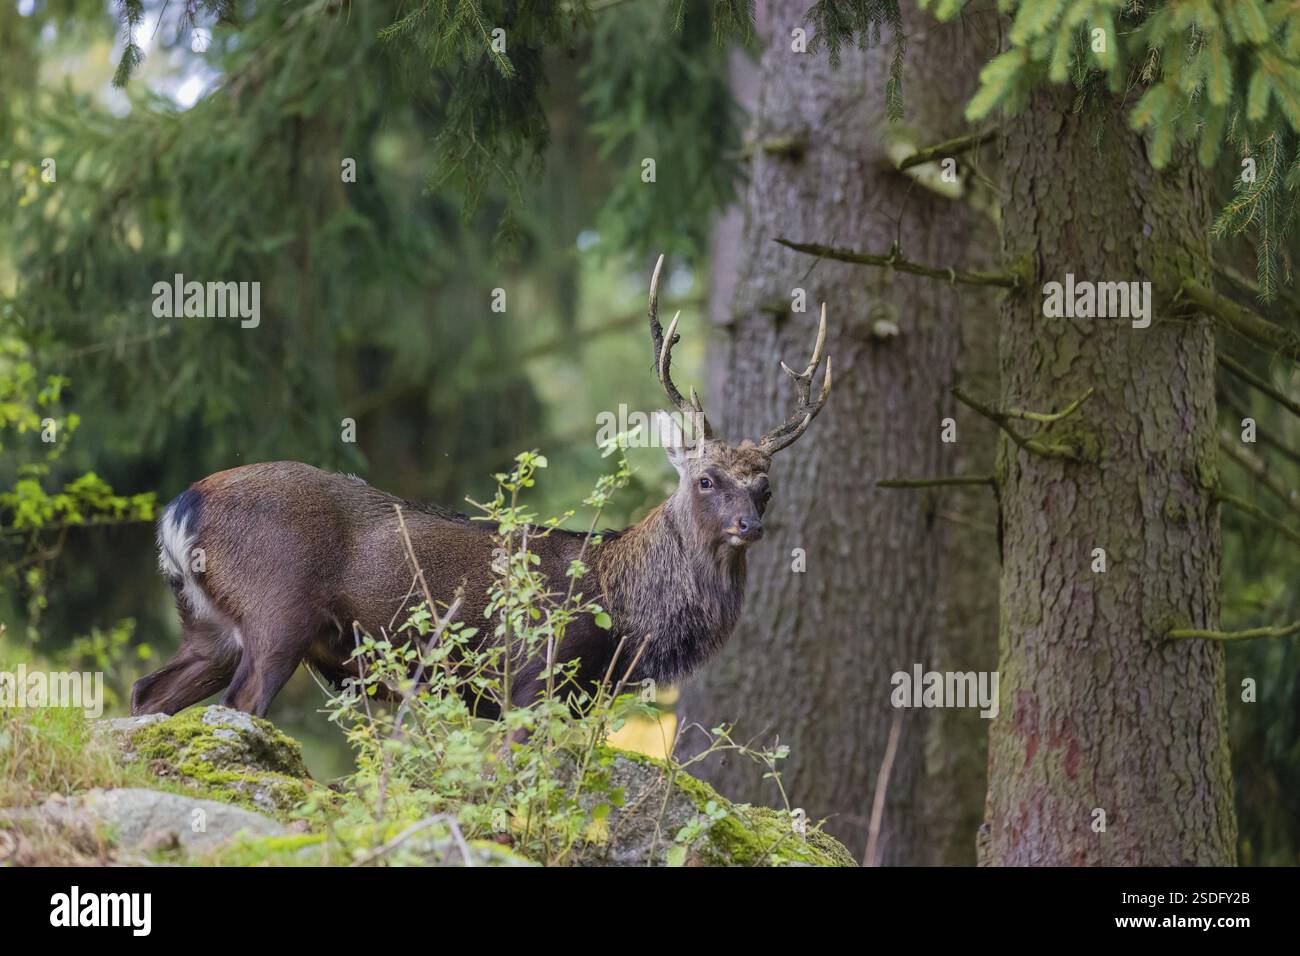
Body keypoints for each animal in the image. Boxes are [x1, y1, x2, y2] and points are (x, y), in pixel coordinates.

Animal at [131, 256, 832, 719]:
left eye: (765, 489)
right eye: (707, 479)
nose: (750, 526)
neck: (624, 617)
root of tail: (180, 508)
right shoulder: (528, 680)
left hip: (207, 625)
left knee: (148, 693)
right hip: (277, 610)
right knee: (236, 703)